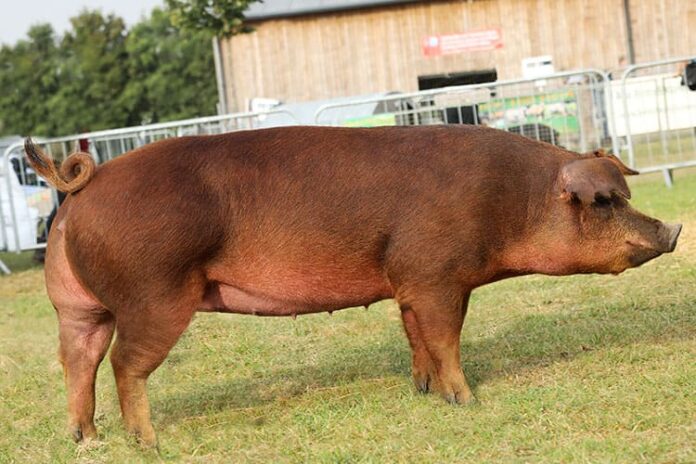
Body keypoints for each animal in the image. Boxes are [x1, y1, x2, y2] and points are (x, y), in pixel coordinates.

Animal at [24, 125, 681, 447]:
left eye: (624, 193)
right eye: (605, 201)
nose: (674, 229)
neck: (511, 203)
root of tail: (83, 186)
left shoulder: (409, 280)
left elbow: (418, 337)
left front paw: (424, 392)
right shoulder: (436, 273)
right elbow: (446, 337)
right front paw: (468, 401)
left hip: (76, 305)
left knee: (77, 360)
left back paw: (85, 438)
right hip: (154, 293)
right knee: (123, 364)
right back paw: (148, 442)